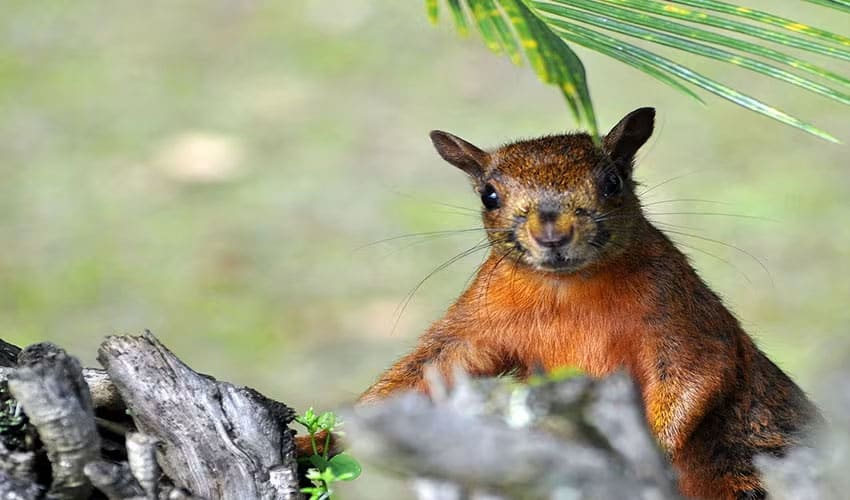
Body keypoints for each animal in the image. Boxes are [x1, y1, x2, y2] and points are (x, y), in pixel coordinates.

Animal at [350, 108, 822, 499]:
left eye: (612, 182)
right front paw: (336, 431)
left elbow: (694, 376)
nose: (552, 233)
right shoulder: (476, 323)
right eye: (489, 195)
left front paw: (649, 453)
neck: (569, 289)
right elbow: (429, 369)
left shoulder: (681, 315)